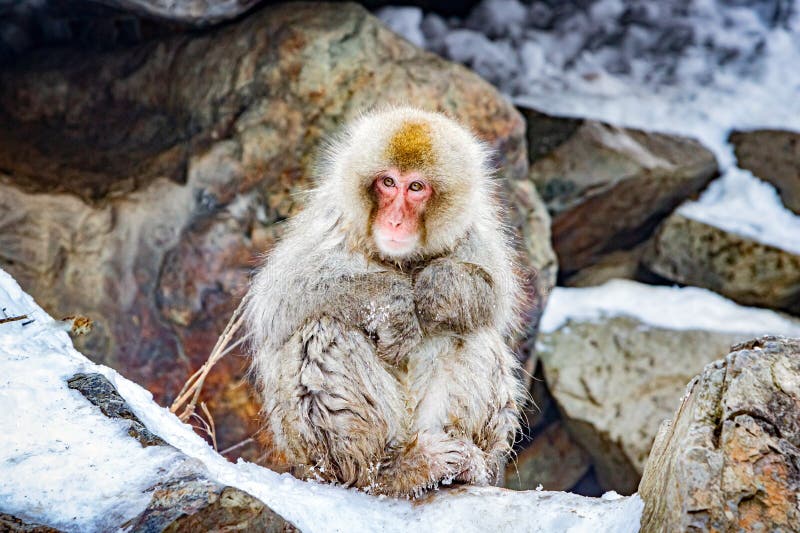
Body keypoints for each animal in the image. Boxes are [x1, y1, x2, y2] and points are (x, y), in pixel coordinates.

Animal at [244, 107, 524, 498]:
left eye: (416, 187)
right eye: (388, 182)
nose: (394, 220)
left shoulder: (472, 237)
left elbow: (494, 297)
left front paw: (440, 285)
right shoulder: (332, 224)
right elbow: (282, 300)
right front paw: (393, 304)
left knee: (472, 331)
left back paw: (462, 466)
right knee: (322, 330)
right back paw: (387, 470)